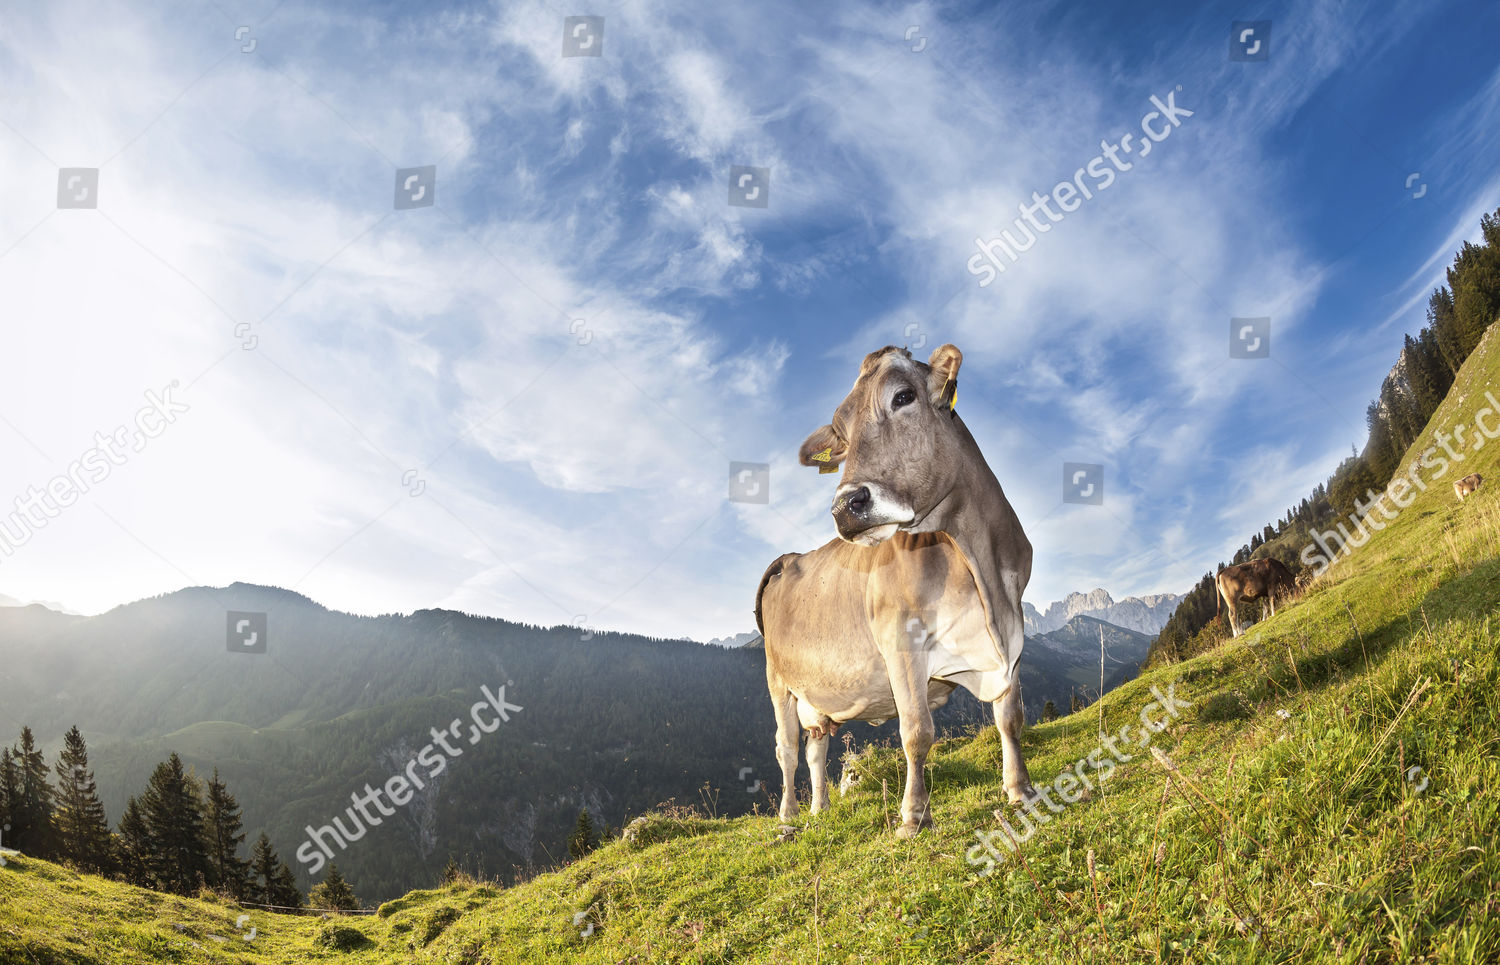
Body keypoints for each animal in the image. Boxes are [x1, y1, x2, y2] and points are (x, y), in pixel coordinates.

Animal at [755, 344, 1035, 838]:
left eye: (903, 397)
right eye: (841, 434)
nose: (844, 507)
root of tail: (788, 557)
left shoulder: (1013, 630)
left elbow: (1010, 718)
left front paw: (1019, 788)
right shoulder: (900, 642)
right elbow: (917, 732)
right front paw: (913, 816)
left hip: (817, 695)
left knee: (815, 746)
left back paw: (819, 809)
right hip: (778, 681)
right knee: (786, 748)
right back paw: (788, 816)